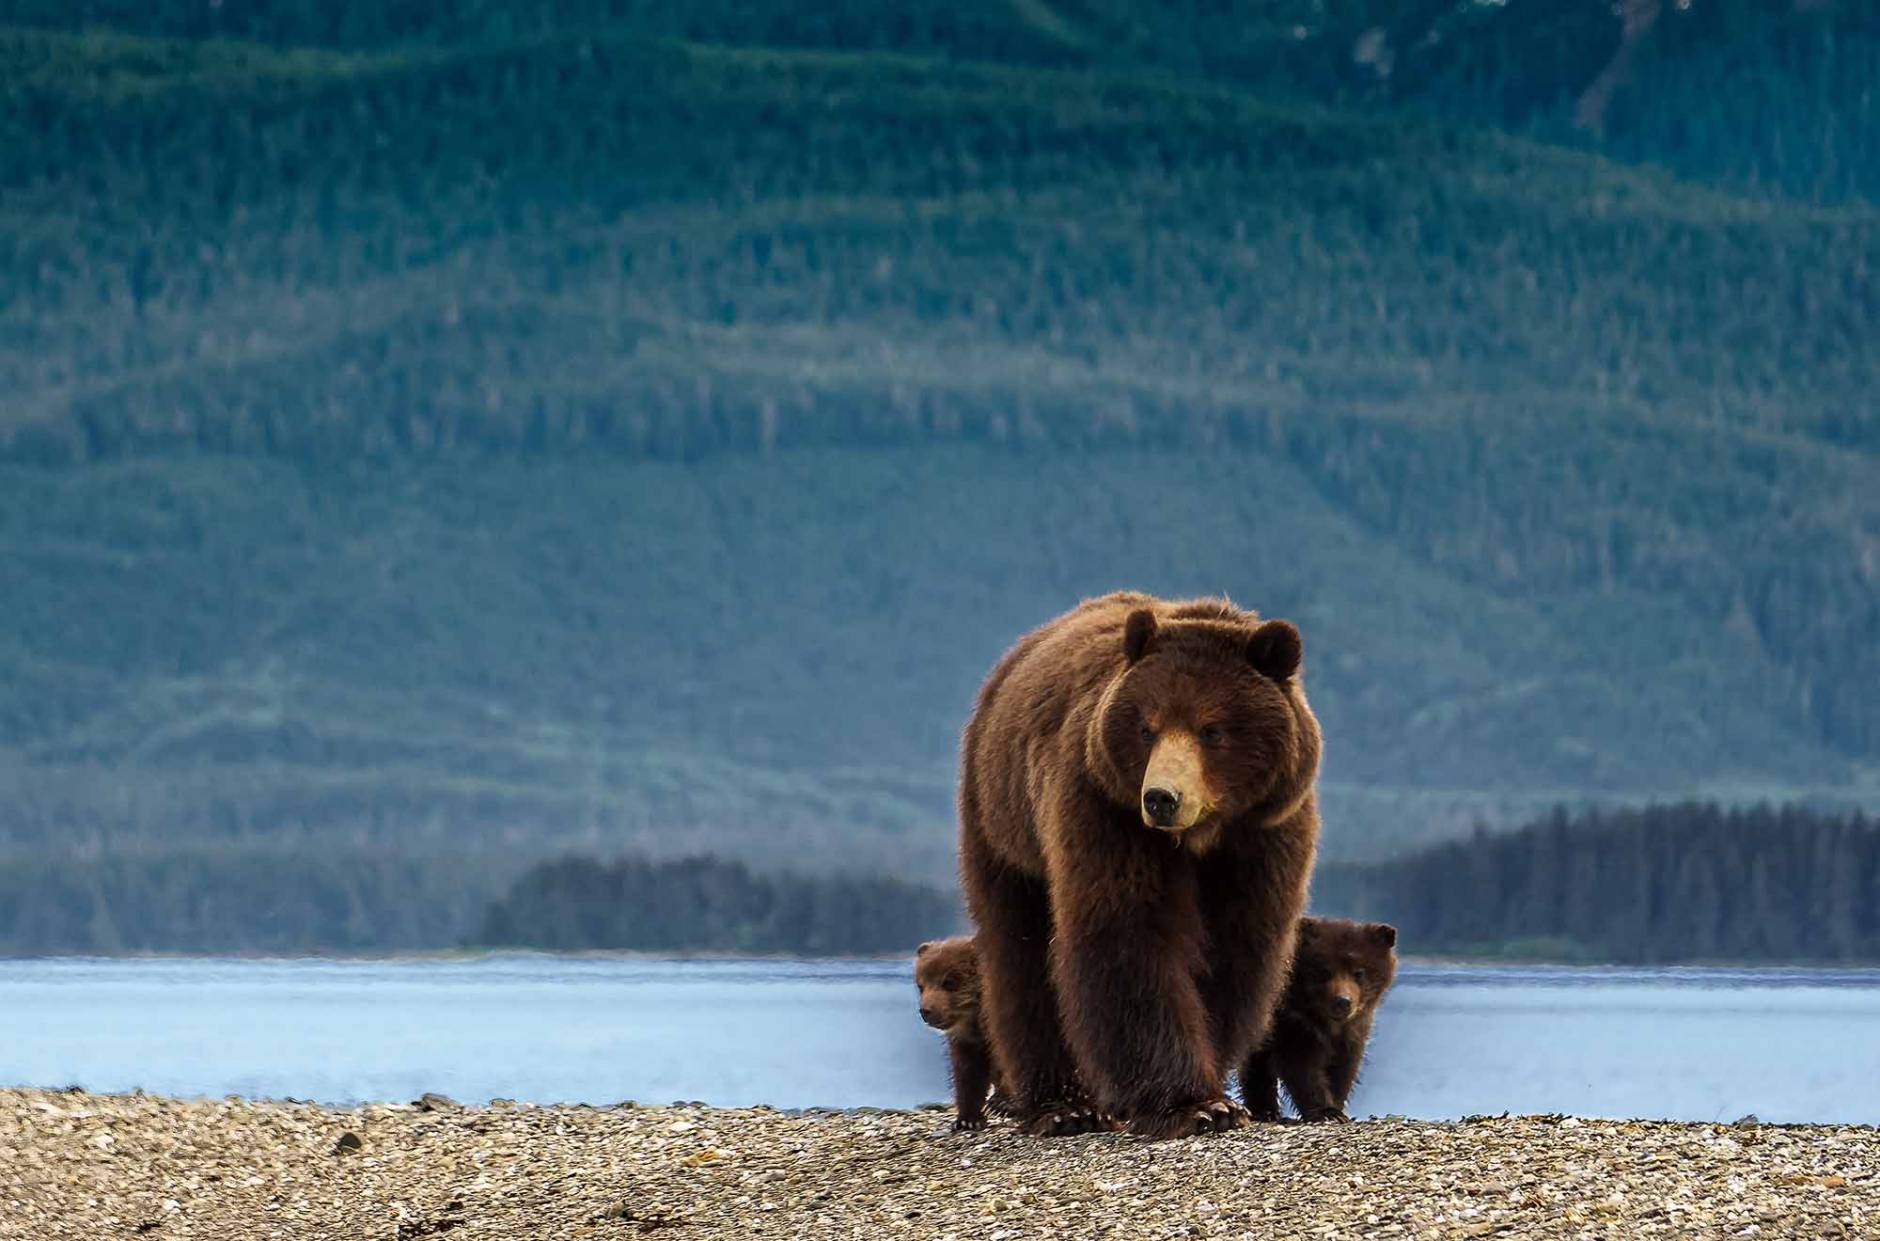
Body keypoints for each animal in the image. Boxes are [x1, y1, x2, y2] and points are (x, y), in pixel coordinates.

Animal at [958, 591, 1322, 1139]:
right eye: (1147, 727)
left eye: (1211, 730)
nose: (1161, 798)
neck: (1199, 836)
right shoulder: (1105, 811)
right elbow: (1130, 932)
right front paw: (1194, 1105)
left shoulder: (1263, 835)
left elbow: (1234, 948)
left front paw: (1215, 1089)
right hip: (1003, 824)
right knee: (1019, 952)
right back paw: (1063, 1105)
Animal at [1241, 916, 1398, 1123]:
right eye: (1324, 971)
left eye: (1359, 972)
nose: (1342, 1001)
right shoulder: (1293, 1023)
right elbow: (1302, 1066)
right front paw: (1327, 1111)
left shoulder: (1354, 1029)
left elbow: (1344, 1066)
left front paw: (1337, 1104)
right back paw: (1264, 1111)